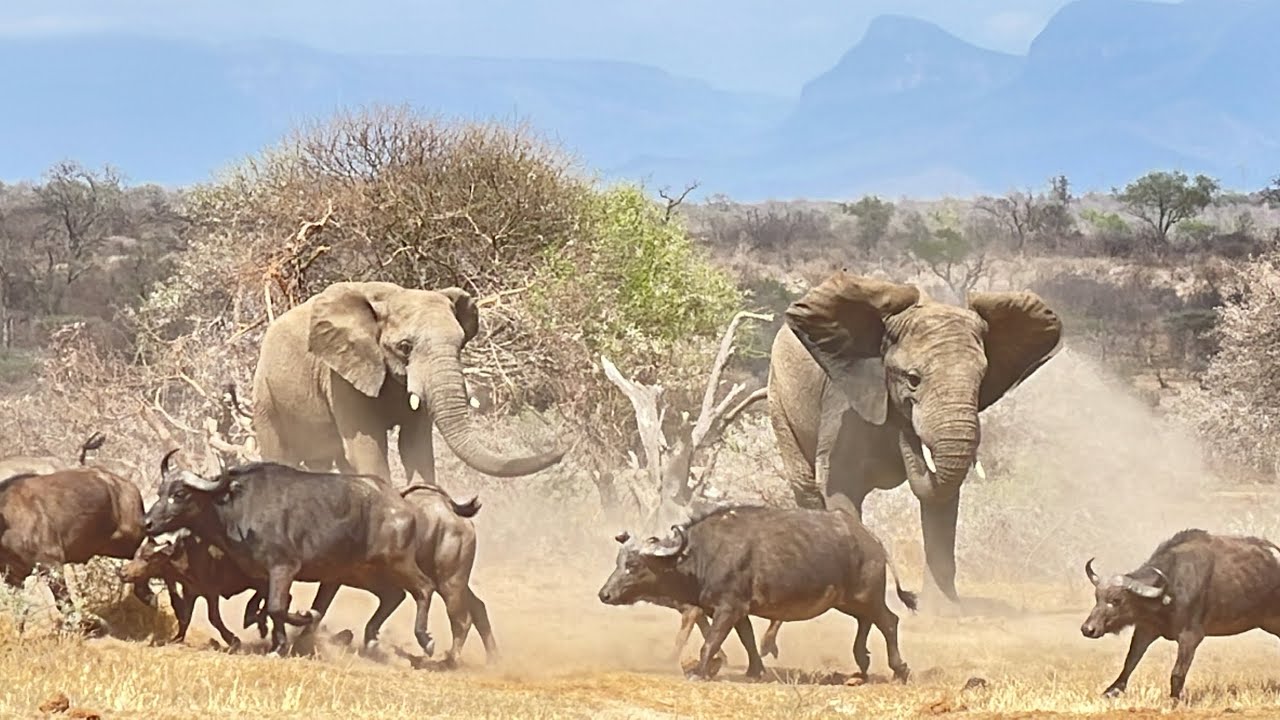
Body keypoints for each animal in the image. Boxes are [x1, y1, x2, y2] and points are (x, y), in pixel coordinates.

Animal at [143, 451, 438, 657]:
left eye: (179, 494)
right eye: (160, 492)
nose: (147, 523)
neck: (236, 509)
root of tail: (400, 502)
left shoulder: (283, 568)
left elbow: (278, 607)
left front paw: (294, 629)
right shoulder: (263, 576)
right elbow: (269, 607)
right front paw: (277, 639)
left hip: (397, 563)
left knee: (424, 588)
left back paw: (426, 640)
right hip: (360, 573)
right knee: (393, 595)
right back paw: (372, 639)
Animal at [251, 280, 568, 485]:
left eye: (460, 343)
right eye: (405, 347)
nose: (561, 448)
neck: (390, 297)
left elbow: (415, 448)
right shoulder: (341, 377)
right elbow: (368, 450)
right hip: (265, 399)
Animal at [598, 504, 916, 681]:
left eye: (634, 565)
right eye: (618, 561)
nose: (605, 594)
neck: (701, 556)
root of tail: (871, 539)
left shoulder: (727, 609)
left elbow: (710, 642)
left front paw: (699, 672)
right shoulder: (738, 611)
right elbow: (748, 639)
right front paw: (755, 670)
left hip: (867, 596)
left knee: (889, 621)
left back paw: (899, 668)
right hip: (846, 601)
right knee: (866, 621)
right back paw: (861, 660)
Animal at [766, 270, 1062, 610]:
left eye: (981, 381)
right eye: (912, 380)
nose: (908, 433)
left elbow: (942, 500)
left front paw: (944, 611)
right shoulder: (844, 405)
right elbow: (839, 485)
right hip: (779, 399)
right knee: (807, 488)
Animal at [1082, 528, 1280, 701]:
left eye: (1116, 600)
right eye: (1097, 597)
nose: (1088, 629)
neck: (1169, 588)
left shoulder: (1191, 636)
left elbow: (1177, 672)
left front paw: (1175, 699)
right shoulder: (1146, 629)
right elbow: (1131, 660)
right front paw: (1111, 690)